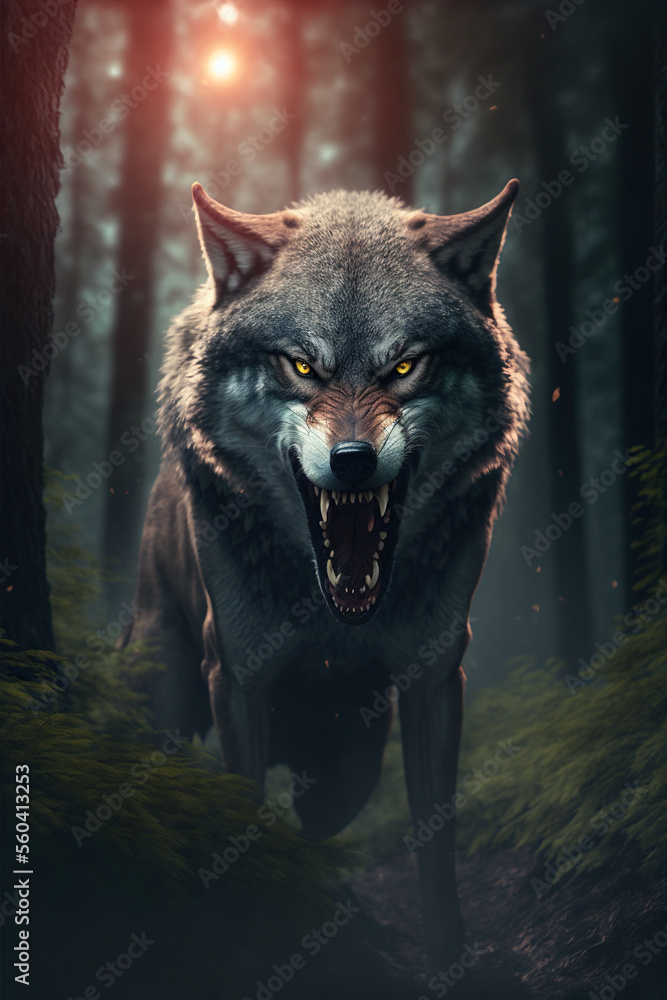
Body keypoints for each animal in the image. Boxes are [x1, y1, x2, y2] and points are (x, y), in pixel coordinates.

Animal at [122, 179, 530, 973]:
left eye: (403, 367)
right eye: (301, 367)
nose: (352, 461)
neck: (336, 621)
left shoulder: (435, 676)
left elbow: (433, 849)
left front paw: (448, 957)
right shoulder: (238, 675)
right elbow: (245, 818)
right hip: (162, 695)